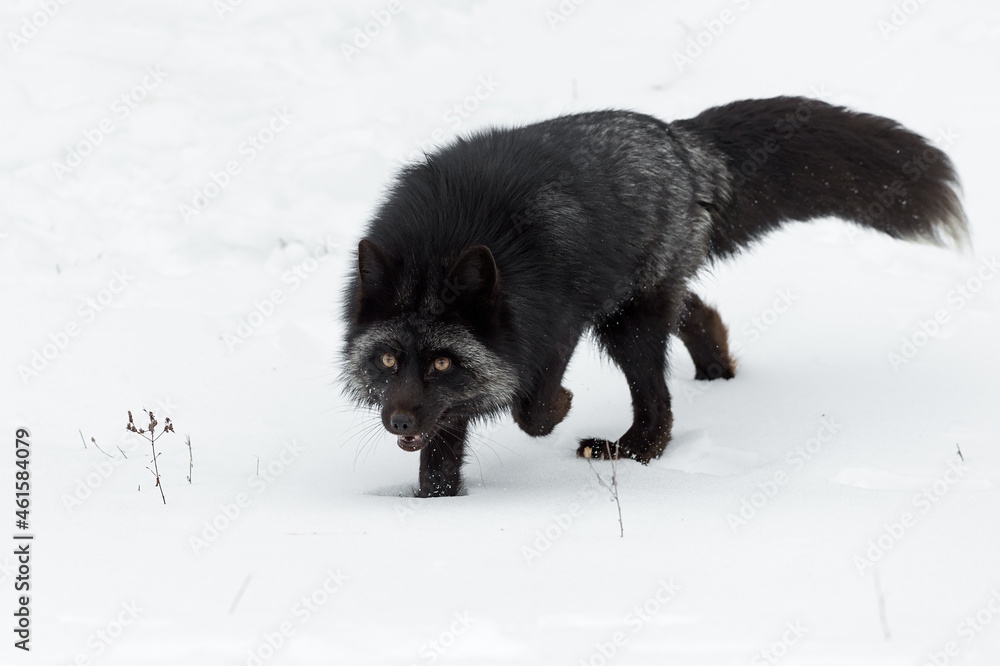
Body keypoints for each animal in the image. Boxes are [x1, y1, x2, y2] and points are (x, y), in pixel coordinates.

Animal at [341, 96, 967, 498]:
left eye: (444, 362)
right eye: (388, 359)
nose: (396, 420)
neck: (444, 237)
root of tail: (676, 138)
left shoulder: (558, 323)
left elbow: (532, 410)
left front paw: (558, 405)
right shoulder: (450, 401)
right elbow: (440, 460)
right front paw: (437, 509)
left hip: (627, 322)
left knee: (659, 406)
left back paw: (635, 451)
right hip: (639, 303)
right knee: (694, 309)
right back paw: (716, 364)